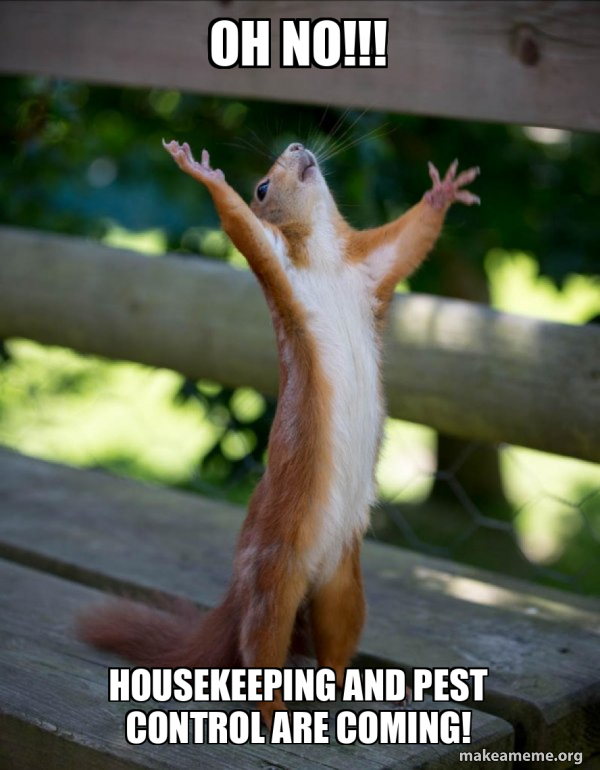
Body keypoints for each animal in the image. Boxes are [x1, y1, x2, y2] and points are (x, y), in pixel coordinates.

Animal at [78, 138, 479, 727]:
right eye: (262, 186)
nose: (296, 146)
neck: (327, 259)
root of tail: (241, 589)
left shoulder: (371, 267)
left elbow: (410, 240)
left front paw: (443, 192)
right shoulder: (278, 266)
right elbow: (240, 226)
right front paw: (204, 173)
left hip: (344, 587)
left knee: (336, 643)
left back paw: (345, 694)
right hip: (273, 579)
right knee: (260, 649)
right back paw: (273, 712)